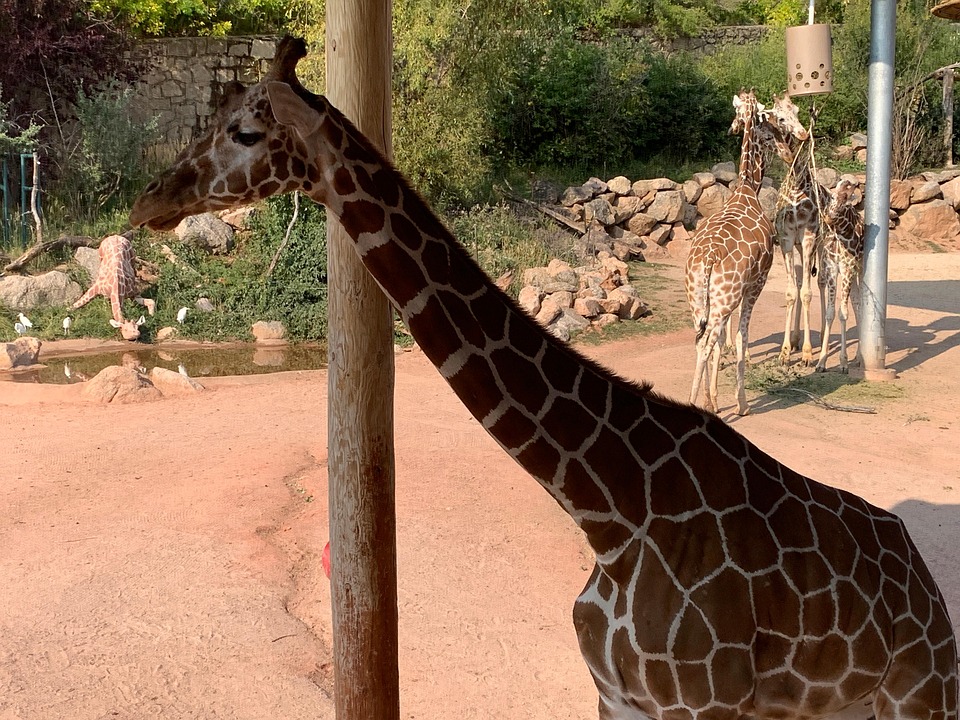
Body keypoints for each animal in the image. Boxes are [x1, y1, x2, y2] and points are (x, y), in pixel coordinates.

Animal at [684, 90, 803, 417]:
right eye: (774, 126)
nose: (788, 152)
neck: (748, 188)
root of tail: (707, 259)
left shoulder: (730, 295)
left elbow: (726, 339)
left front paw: (714, 399)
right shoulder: (755, 285)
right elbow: (741, 337)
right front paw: (741, 403)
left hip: (698, 298)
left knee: (701, 339)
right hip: (724, 296)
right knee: (707, 342)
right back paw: (693, 404)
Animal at [815, 179, 865, 373]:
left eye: (846, 200)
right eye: (832, 197)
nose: (828, 218)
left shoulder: (847, 269)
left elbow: (843, 313)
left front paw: (843, 363)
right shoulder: (831, 269)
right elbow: (830, 313)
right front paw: (821, 361)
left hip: (860, 269)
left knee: (860, 306)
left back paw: (859, 357)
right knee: (858, 304)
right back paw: (858, 357)